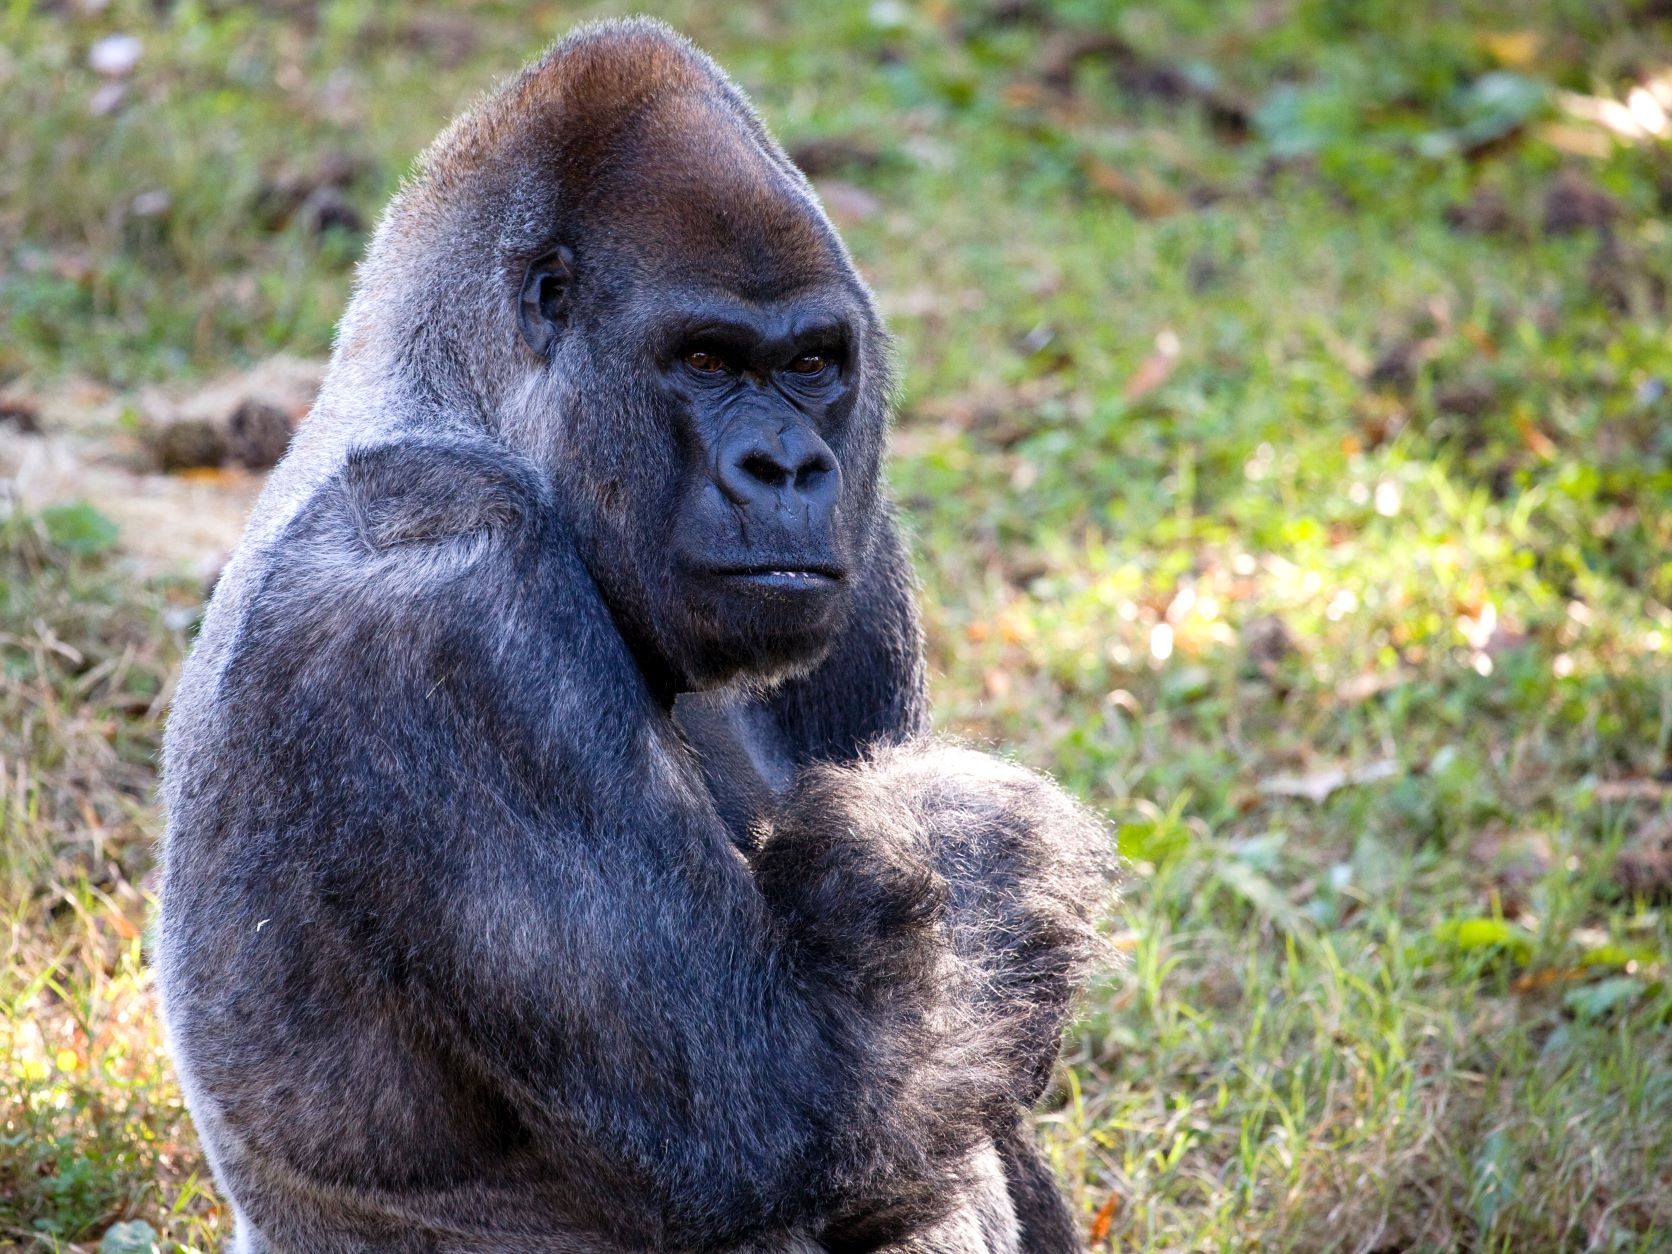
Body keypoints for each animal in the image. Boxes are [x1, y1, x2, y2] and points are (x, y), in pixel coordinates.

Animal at [156, 19, 1112, 1254]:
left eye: (811, 363)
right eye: (703, 360)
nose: (788, 468)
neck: (459, 399)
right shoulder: (442, 591)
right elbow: (772, 1106)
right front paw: (979, 833)